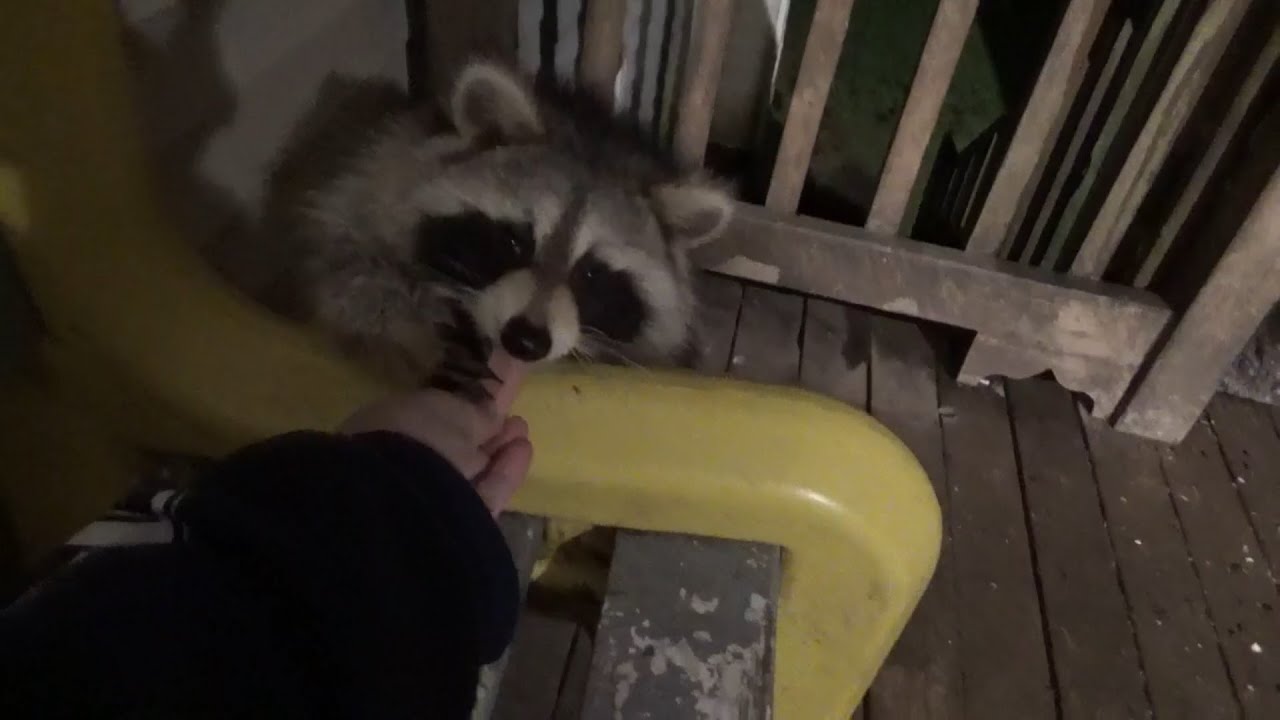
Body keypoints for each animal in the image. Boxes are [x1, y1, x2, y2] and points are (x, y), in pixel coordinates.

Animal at [253, 60, 734, 394]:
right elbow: (338, 245)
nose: (524, 341)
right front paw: (398, 321)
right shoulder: (371, 168)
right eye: (514, 240)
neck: (590, 130)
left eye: (590, 272)